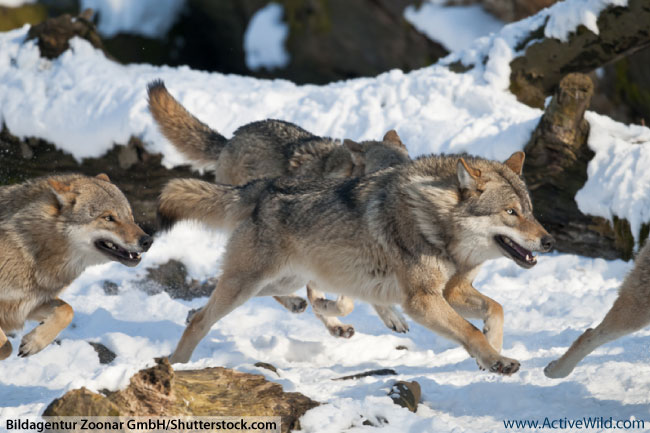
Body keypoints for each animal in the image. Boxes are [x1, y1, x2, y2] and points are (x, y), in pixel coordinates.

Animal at [0, 174, 153, 360]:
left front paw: (34, 343)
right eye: (108, 218)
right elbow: (6, 347)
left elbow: (68, 311)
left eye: (130, 216)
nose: (147, 241)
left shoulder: (30, 304)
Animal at [158, 151, 554, 373]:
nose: (549, 241)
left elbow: (496, 310)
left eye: (530, 211)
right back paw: (176, 365)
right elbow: (469, 330)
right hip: (248, 283)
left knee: (238, 303)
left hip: (281, 279)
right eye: (511, 213)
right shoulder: (422, 300)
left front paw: (493, 353)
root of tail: (263, 186)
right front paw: (497, 360)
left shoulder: (453, 291)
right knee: (203, 319)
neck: (437, 224)